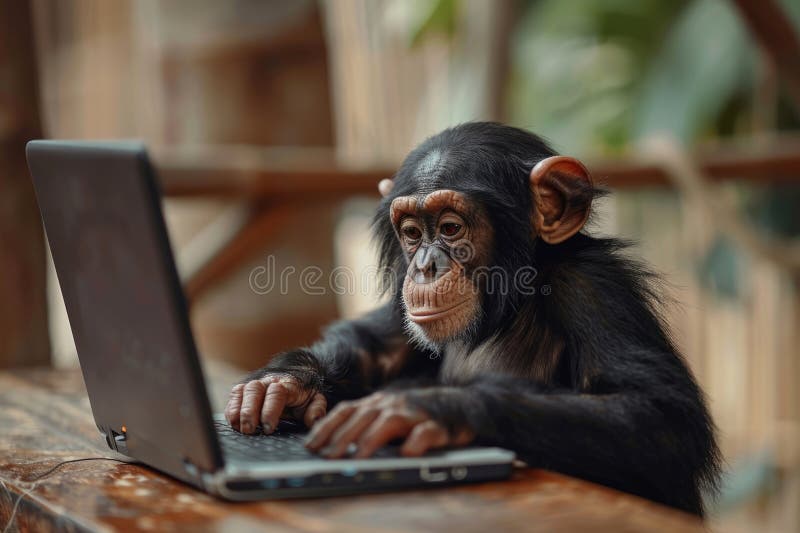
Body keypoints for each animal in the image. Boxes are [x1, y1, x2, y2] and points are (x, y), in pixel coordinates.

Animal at [224, 122, 720, 516]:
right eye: (411, 233)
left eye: (450, 228)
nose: (424, 267)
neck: (511, 305)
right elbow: (378, 344)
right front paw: (282, 385)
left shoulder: (594, 288)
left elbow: (657, 416)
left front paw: (424, 408)